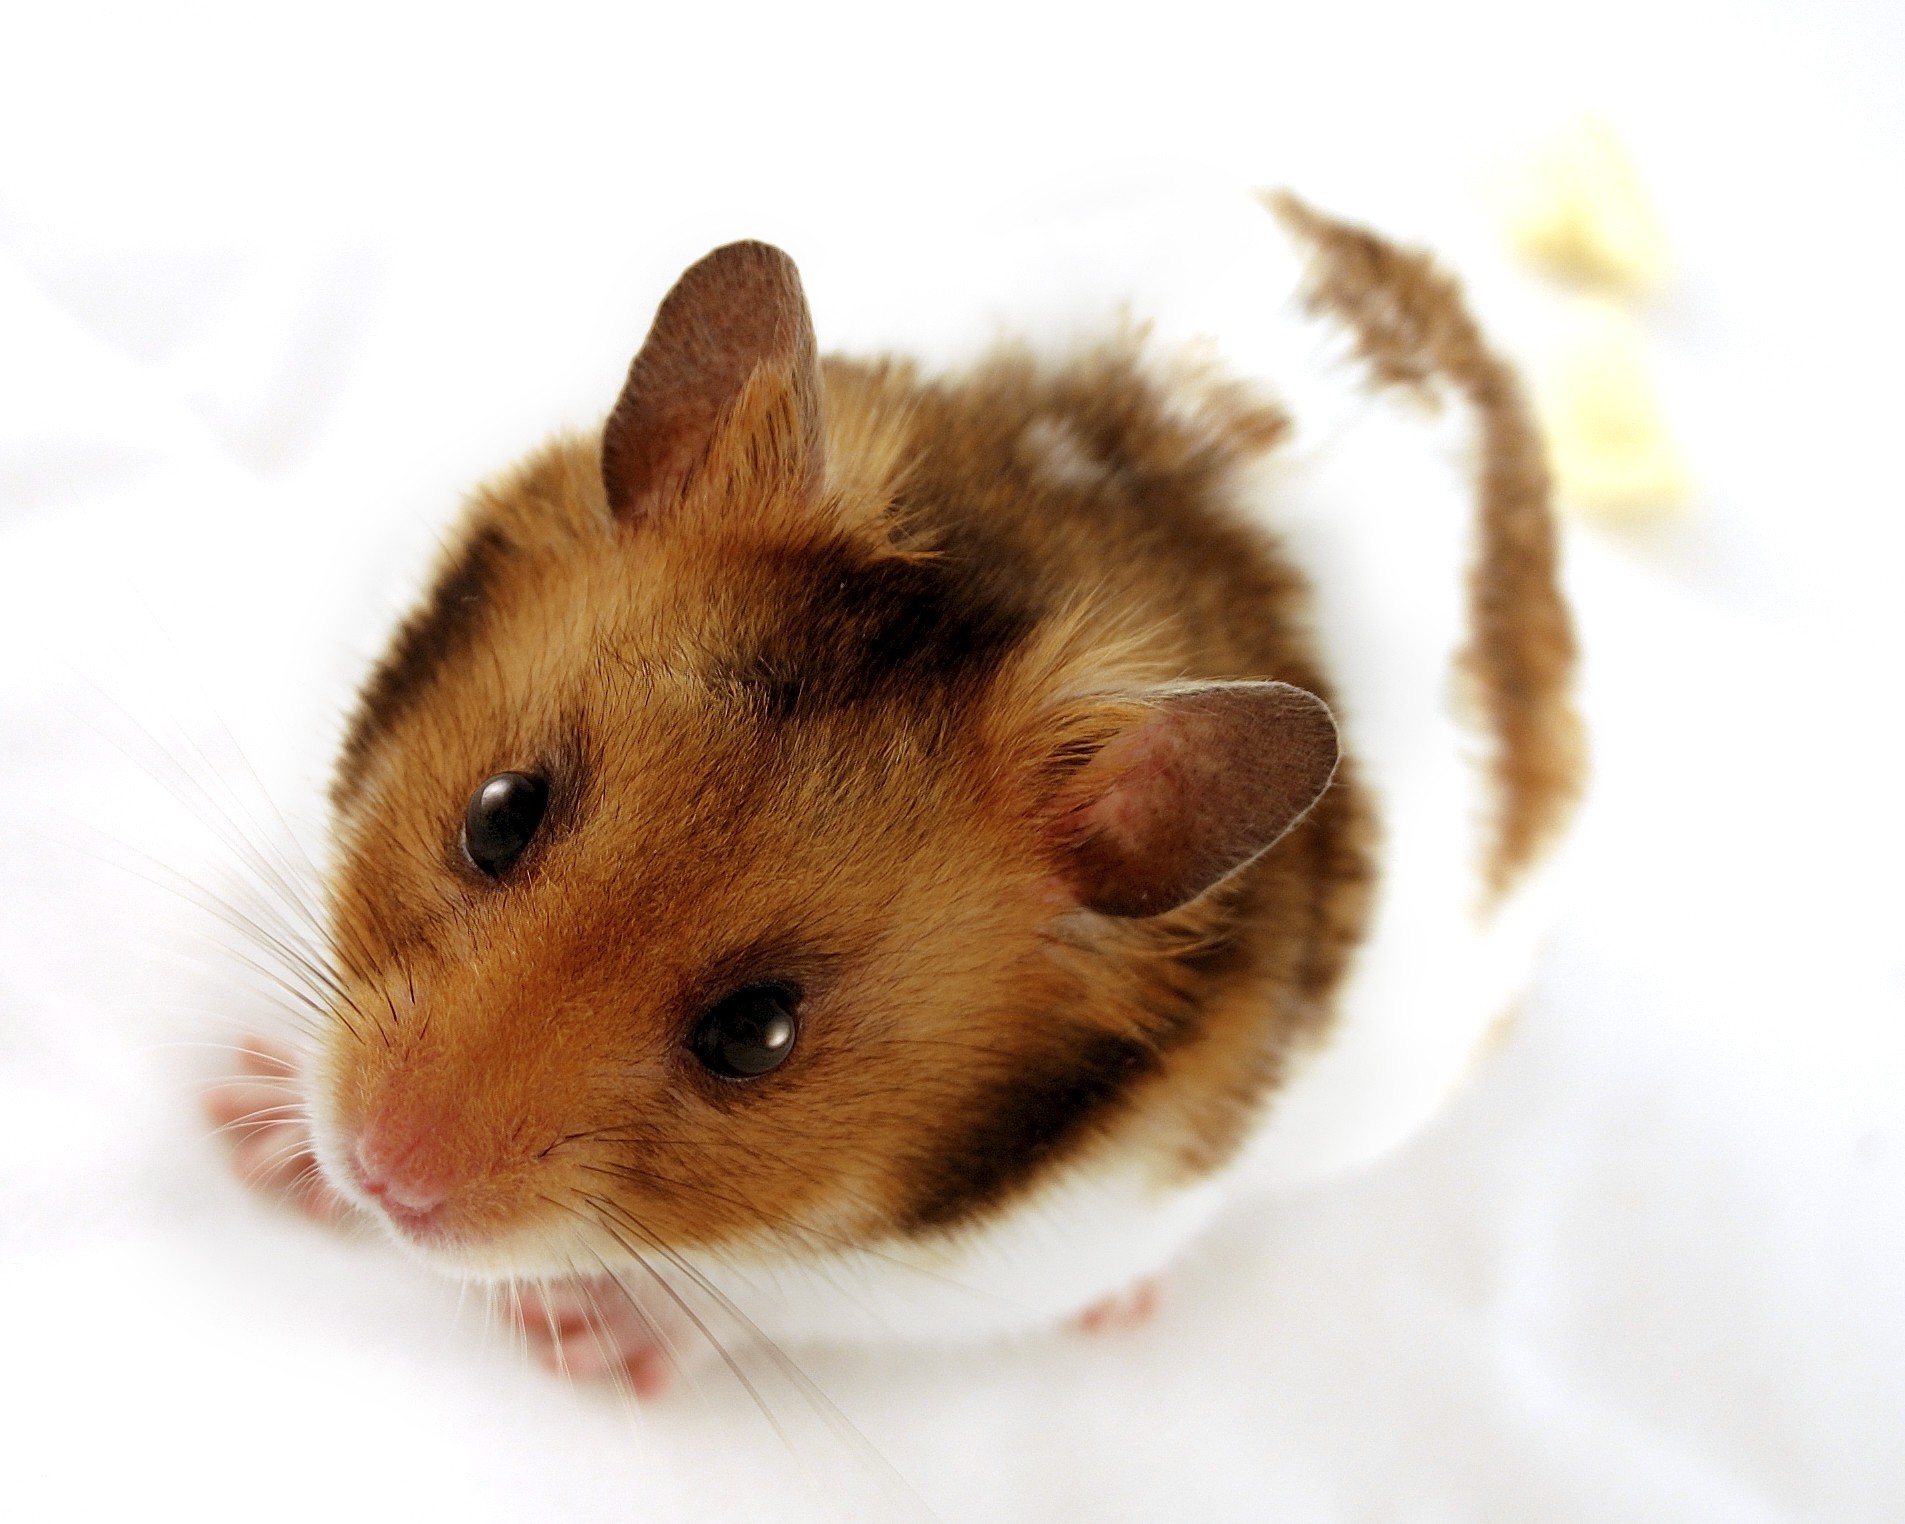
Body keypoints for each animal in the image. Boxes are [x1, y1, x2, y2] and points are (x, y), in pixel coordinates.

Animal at [209, 191, 1582, 1389]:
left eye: (757, 1036)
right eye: (499, 815)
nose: (384, 1174)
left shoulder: (1011, 1257)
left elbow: (760, 1308)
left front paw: (584, 1343)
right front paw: (238, 1122)